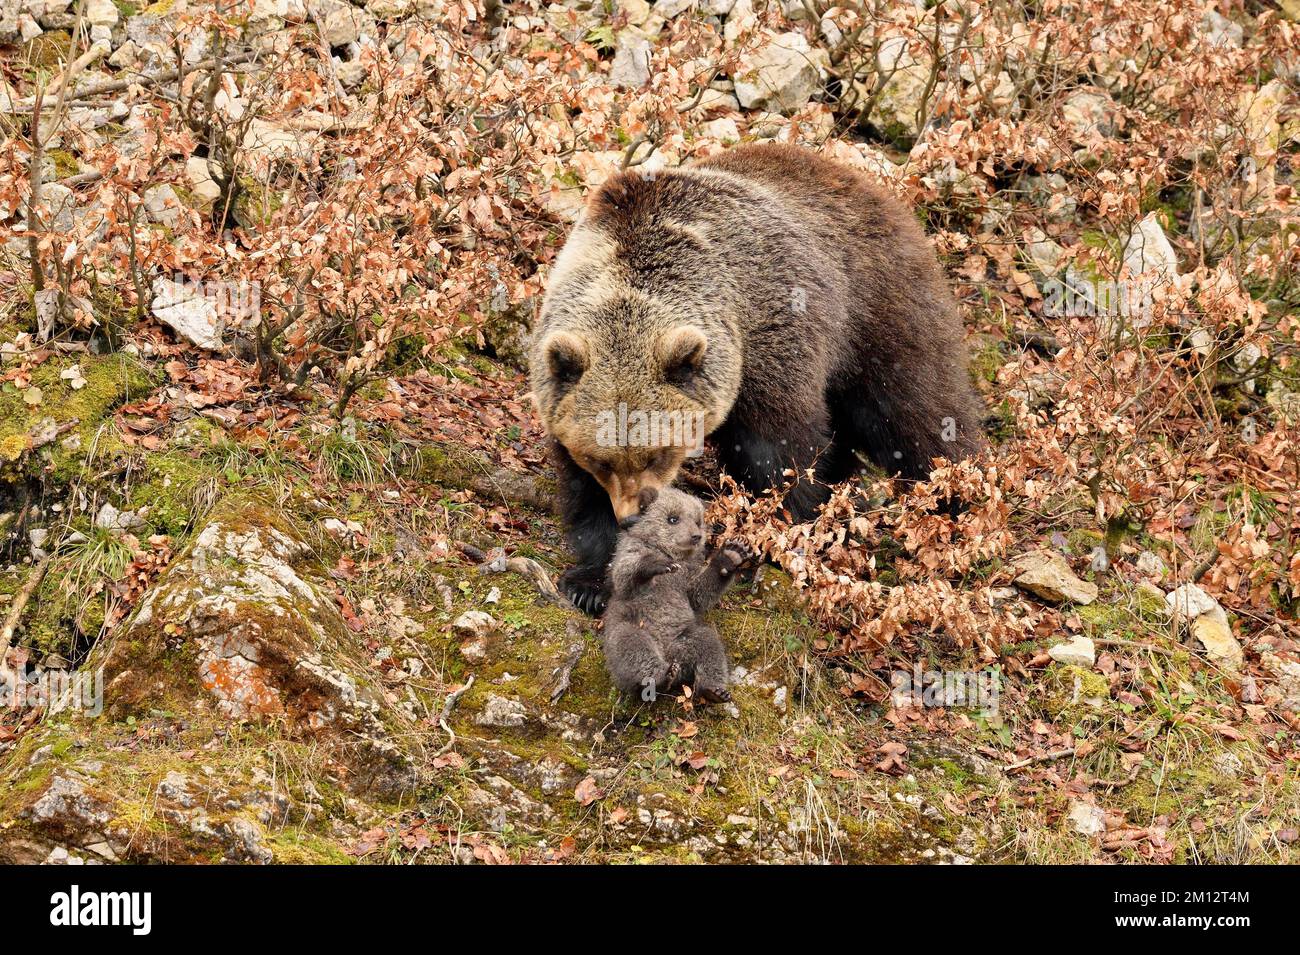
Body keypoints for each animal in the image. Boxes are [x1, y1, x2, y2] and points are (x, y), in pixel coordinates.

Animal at [530, 143, 983, 613]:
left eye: (658, 453)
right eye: (602, 460)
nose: (633, 513)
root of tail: (872, 187)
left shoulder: (772, 339)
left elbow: (781, 451)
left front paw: (785, 535)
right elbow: (584, 494)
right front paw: (591, 581)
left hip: (879, 313)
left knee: (916, 414)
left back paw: (956, 501)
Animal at [601, 487, 752, 704]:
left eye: (697, 521)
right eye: (673, 518)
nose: (696, 535)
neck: (671, 554)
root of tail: (668, 655)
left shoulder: (688, 576)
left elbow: (698, 594)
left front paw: (732, 553)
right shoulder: (629, 553)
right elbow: (624, 575)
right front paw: (656, 564)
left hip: (683, 640)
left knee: (708, 643)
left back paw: (714, 690)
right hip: (632, 627)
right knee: (631, 645)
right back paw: (661, 677)